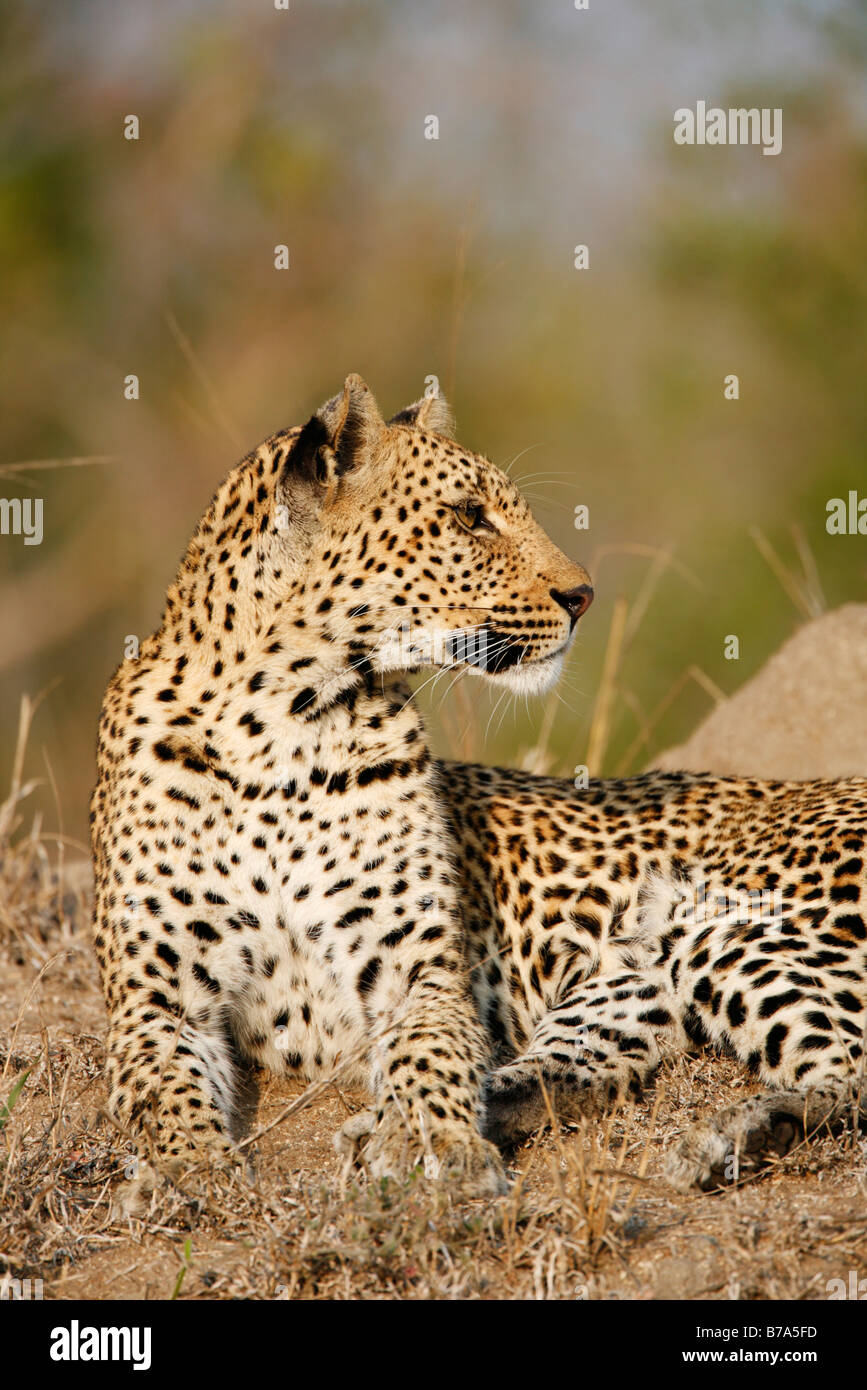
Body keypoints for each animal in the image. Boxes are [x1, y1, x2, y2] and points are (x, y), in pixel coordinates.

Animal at [90, 373, 867, 1200]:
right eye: (469, 517)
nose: (582, 595)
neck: (284, 726)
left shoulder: (420, 974)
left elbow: (430, 1057)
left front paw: (442, 1145)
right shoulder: (155, 1000)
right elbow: (165, 1092)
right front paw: (194, 1173)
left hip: (729, 929)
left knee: (847, 1074)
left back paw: (735, 1135)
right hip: (628, 987)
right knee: (573, 1072)